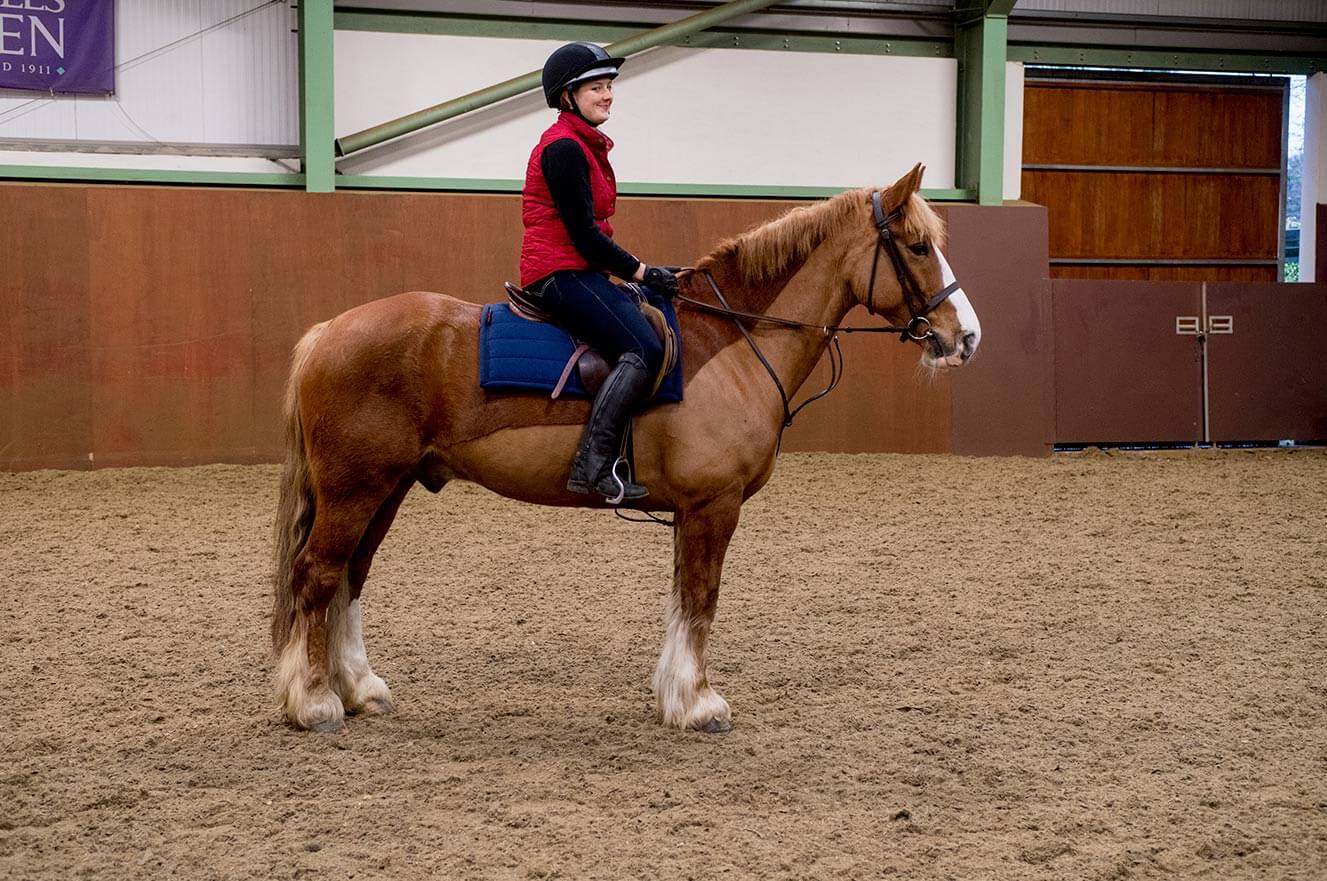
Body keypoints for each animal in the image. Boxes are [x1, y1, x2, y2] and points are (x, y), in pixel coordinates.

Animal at [270, 163, 981, 734]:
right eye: (918, 247)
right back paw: (314, 704)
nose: (966, 336)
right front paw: (698, 704)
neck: (731, 343)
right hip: (356, 489)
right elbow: (701, 599)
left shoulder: (692, 512)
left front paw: (675, 695)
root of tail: (328, 331)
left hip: (385, 489)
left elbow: (682, 601)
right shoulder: (714, 506)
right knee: (318, 574)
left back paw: (358, 690)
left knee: (350, 576)